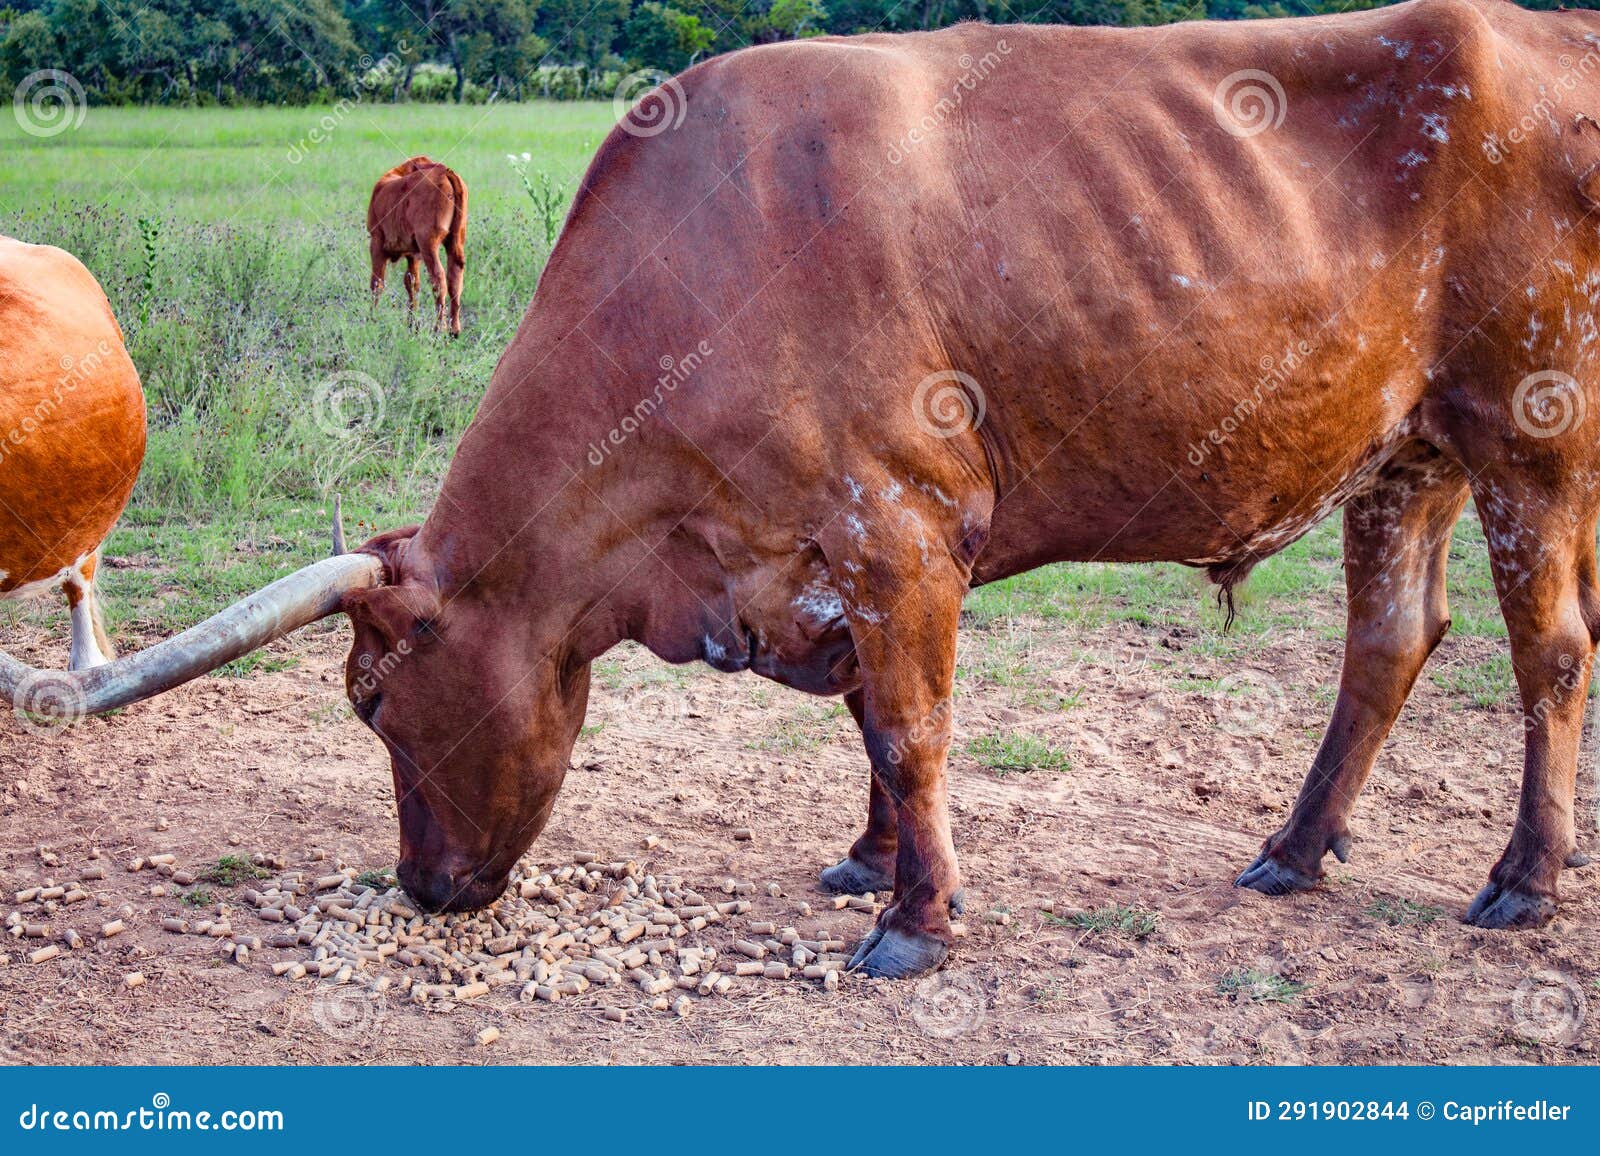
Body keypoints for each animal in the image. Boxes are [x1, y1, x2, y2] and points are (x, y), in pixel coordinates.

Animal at [367, 157, 467, 335]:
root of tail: (443, 170)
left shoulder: (376, 243)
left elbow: (377, 283)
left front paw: (372, 319)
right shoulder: (413, 255)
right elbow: (412, 284)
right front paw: (411, 324)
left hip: (428, 244)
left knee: (438, 279)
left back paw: (438, 329)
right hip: (455, 242)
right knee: (455, 278)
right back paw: (454, 330)